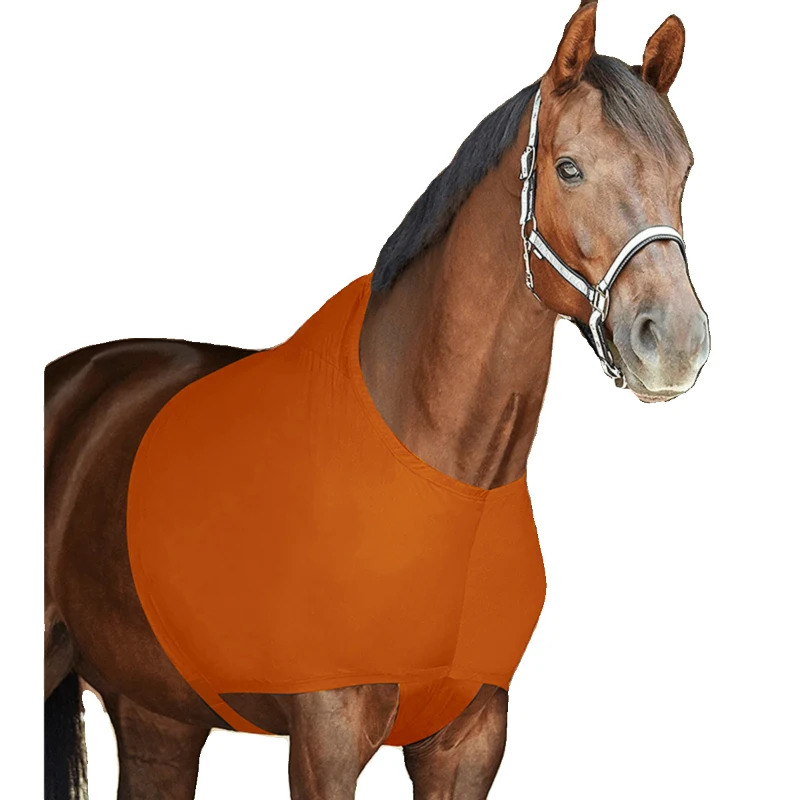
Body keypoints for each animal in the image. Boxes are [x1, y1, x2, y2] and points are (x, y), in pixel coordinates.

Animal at [44, 2, 710, 797]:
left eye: (684, 170)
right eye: (568, 167)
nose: (675, 342)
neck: (445, 476)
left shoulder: (469, 739)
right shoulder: (326, 740)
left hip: (158, 717)